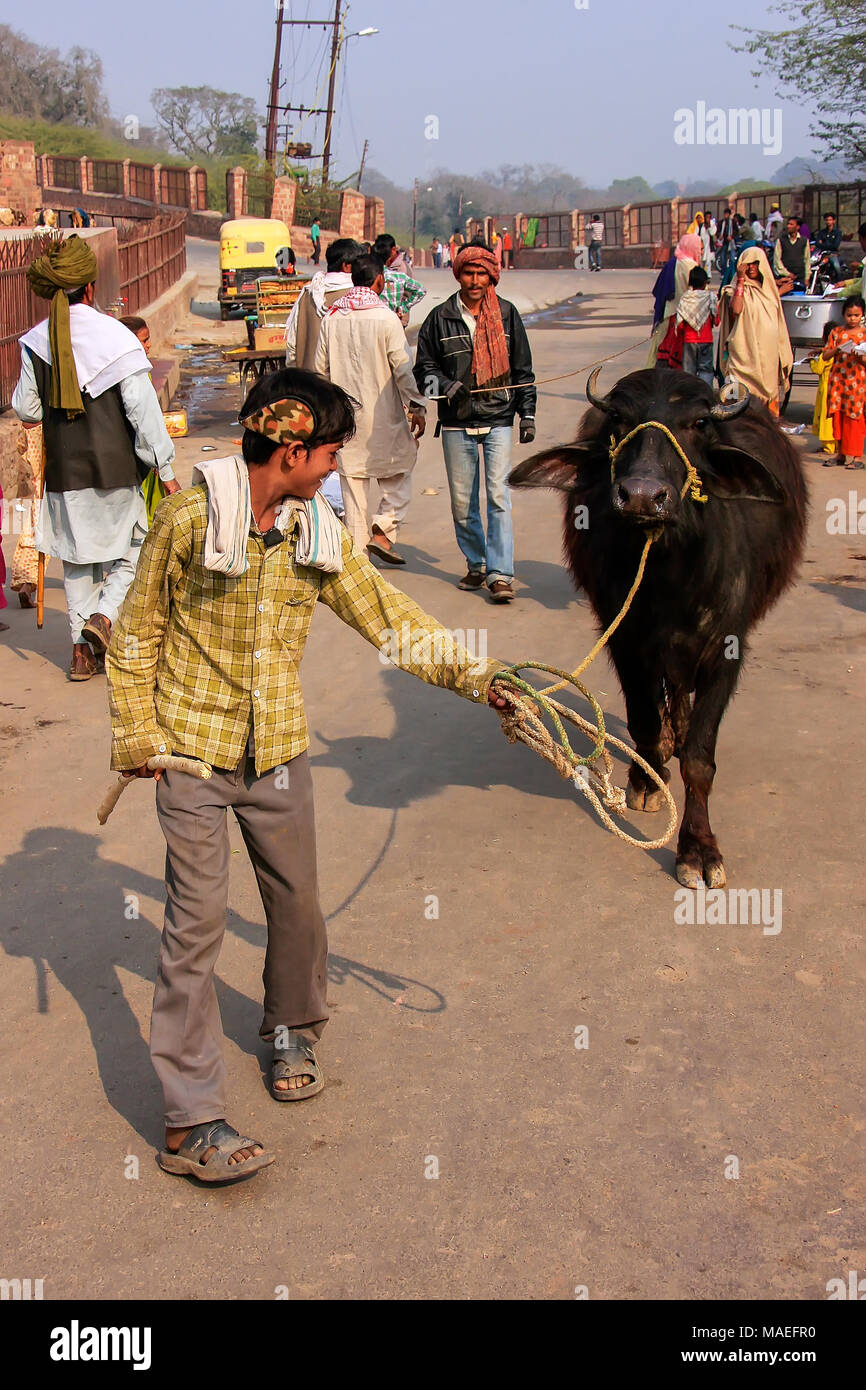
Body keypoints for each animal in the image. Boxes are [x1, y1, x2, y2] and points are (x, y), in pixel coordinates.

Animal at [509, 367, 808, 887]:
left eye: (699, 423)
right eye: (619, 420)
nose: (643, 496)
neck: (669, 575)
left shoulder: (725, 648)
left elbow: (701, 760)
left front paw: (699, 848)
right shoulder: (626, 640)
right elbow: (645, 722)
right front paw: (648, 780)